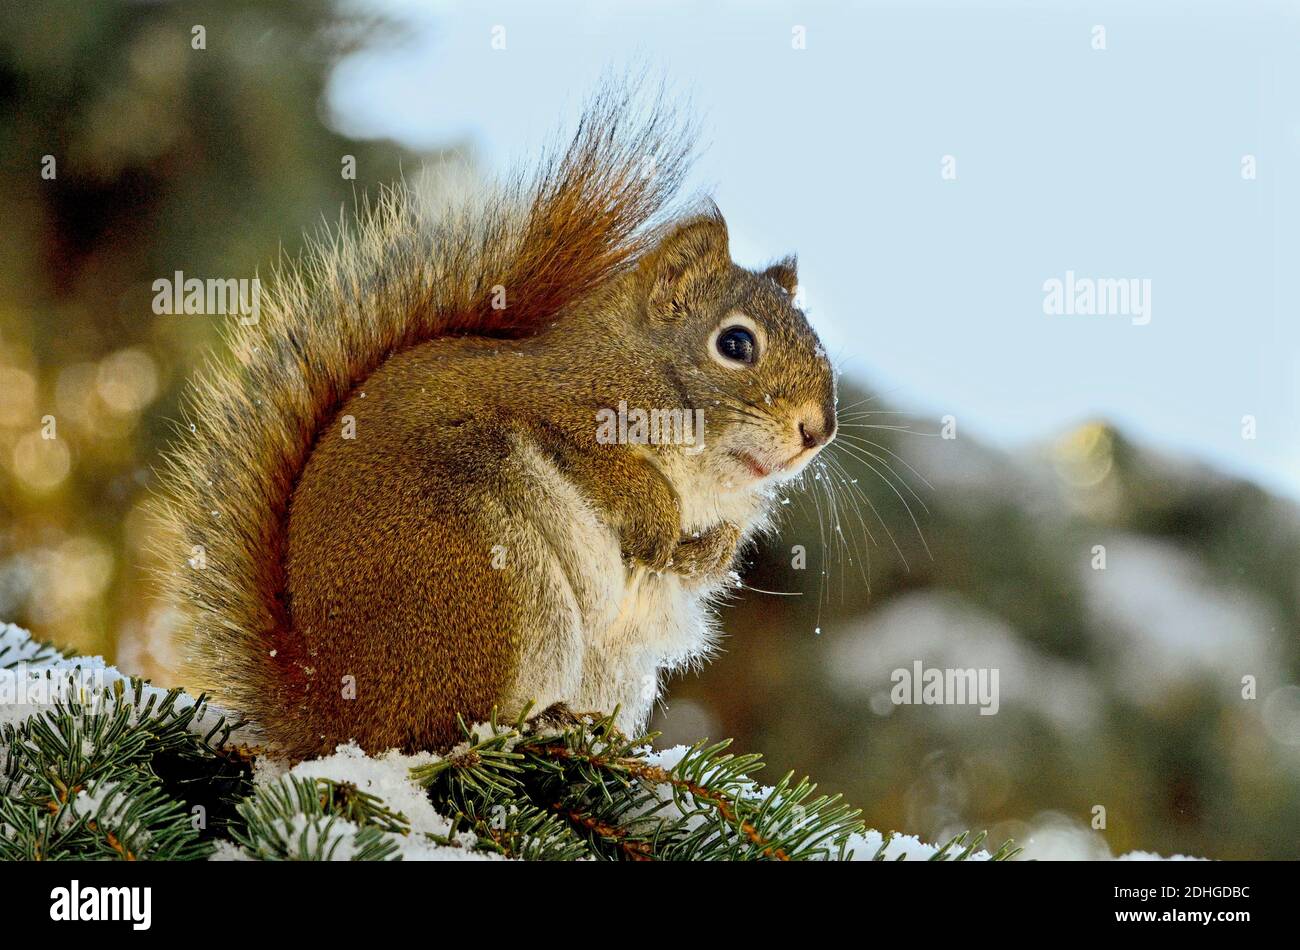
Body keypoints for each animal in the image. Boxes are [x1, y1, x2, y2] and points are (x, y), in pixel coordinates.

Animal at [157, 90, 837, 760]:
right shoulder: (557, 412)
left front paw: (708, 547)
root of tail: (331, 716)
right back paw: (534, 725)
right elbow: (614, 476)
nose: (818, 432)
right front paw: (658, 521)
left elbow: (704, 559)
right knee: (444, 731)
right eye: (735, 344)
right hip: (490, 583)